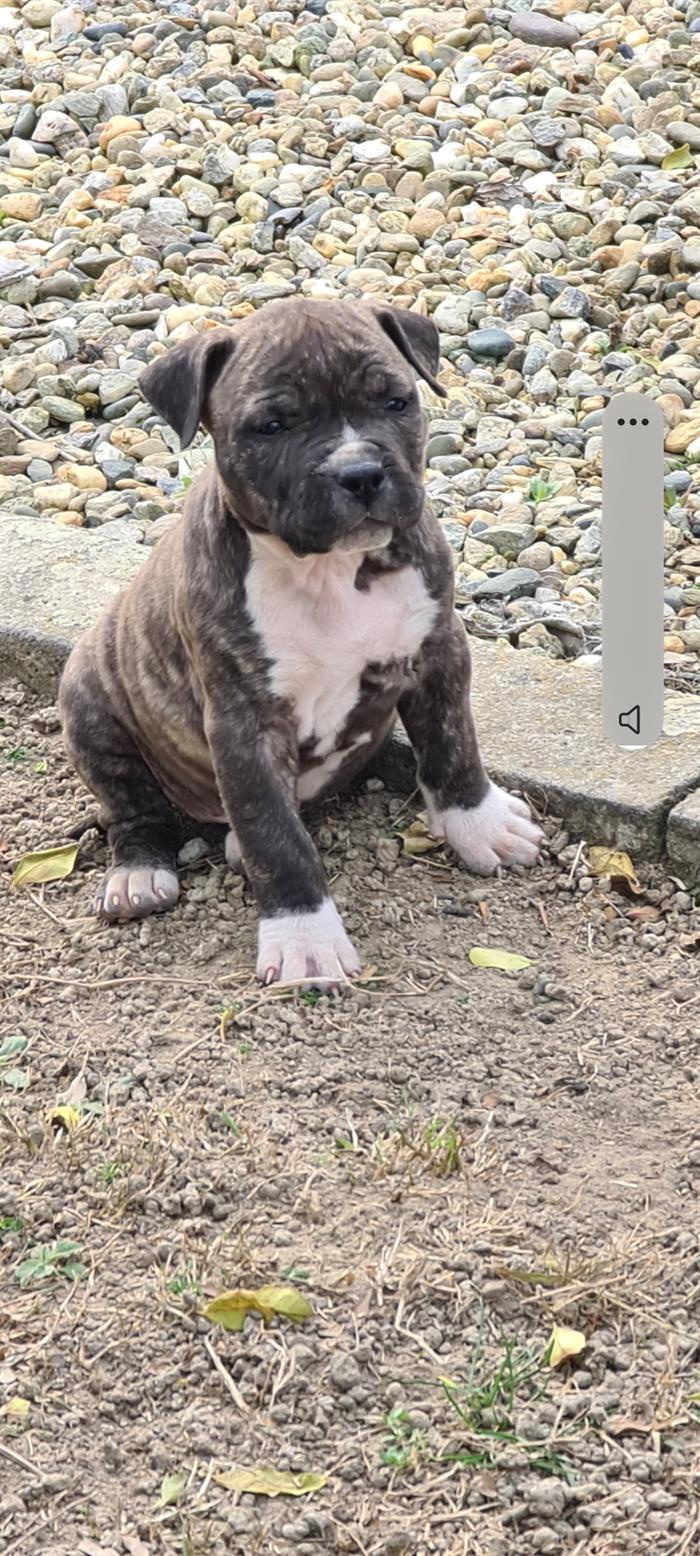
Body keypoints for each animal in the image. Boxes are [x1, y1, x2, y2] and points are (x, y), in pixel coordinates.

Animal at [58, 297, 541, 983]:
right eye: (272, 426)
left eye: (395, 402)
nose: (359, 473)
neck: (329, 571)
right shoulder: (245, 723)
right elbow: (275, 835)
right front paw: (302, 937)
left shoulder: (438, 651)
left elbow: (453, 746)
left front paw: (481, 824)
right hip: (89, 703)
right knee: (131, 805)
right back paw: (140, 873)